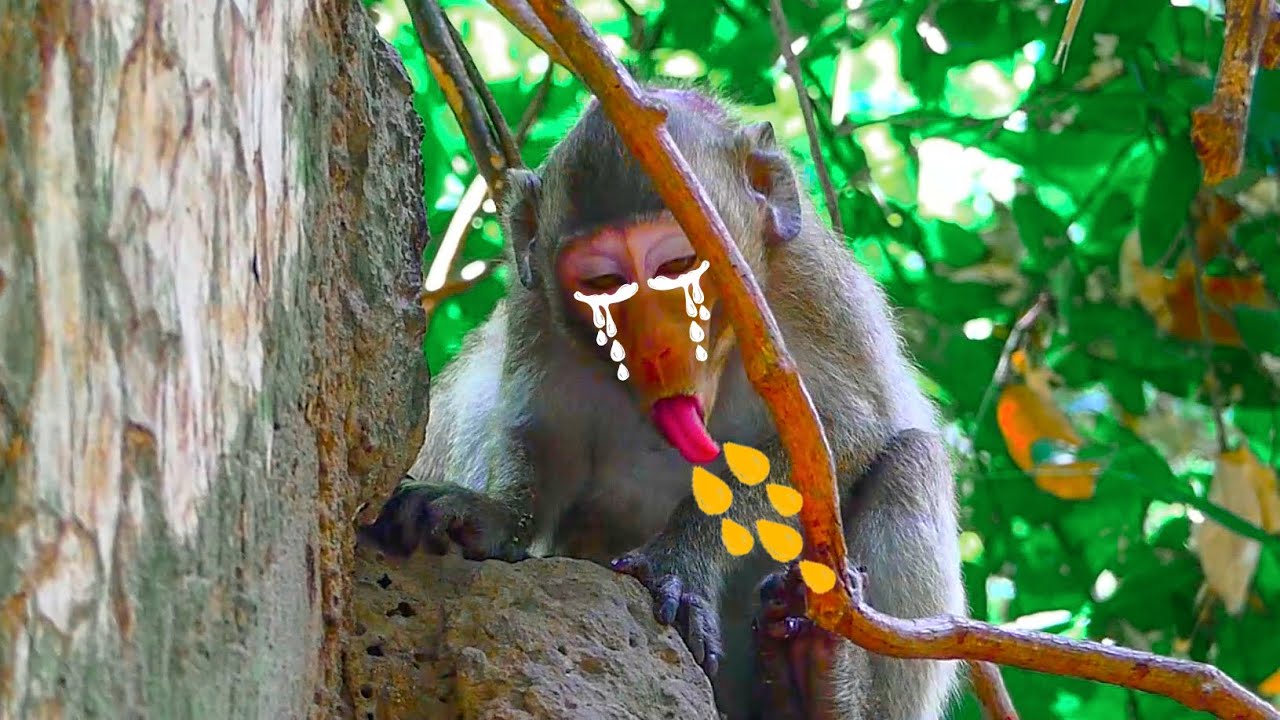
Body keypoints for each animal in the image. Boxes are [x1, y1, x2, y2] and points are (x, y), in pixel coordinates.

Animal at [360, 83, 967, 719]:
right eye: (601, 283)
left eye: (679, 265)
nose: (655, 346)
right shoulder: (537, 310)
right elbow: (546, 438)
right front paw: (492, 514)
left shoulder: (816, 289)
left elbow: (843, 432)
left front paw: (681, 558)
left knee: (913, 461)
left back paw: (821, 686)